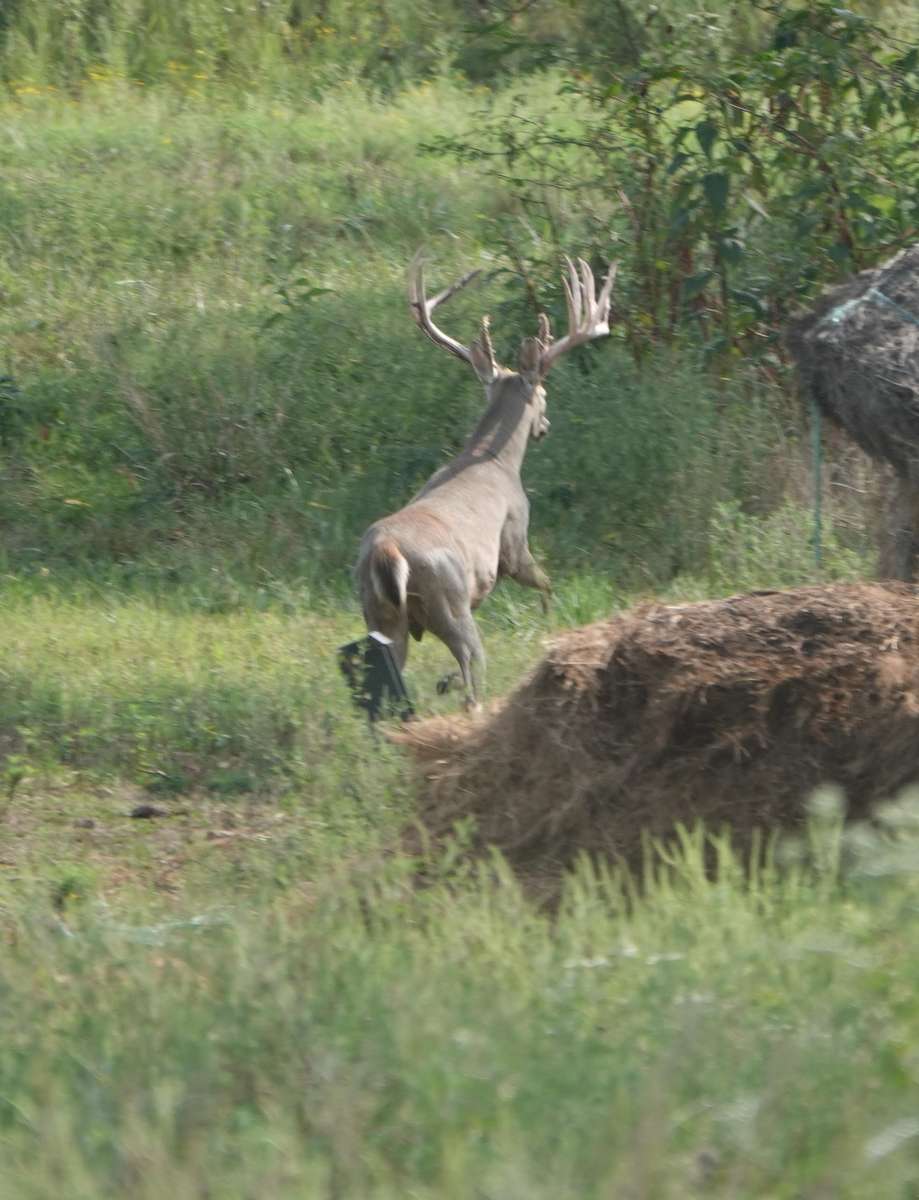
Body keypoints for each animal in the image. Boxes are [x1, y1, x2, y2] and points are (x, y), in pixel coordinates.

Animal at [355, 250, 617, 711]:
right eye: (545, 394)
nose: (545, 426)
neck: (494, 461)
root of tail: (387, 553)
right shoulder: (513, 539)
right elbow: (545, 582)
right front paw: (551, 622)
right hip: (449, 599)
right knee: (472, 672)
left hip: (379, 613)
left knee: (388, 687)